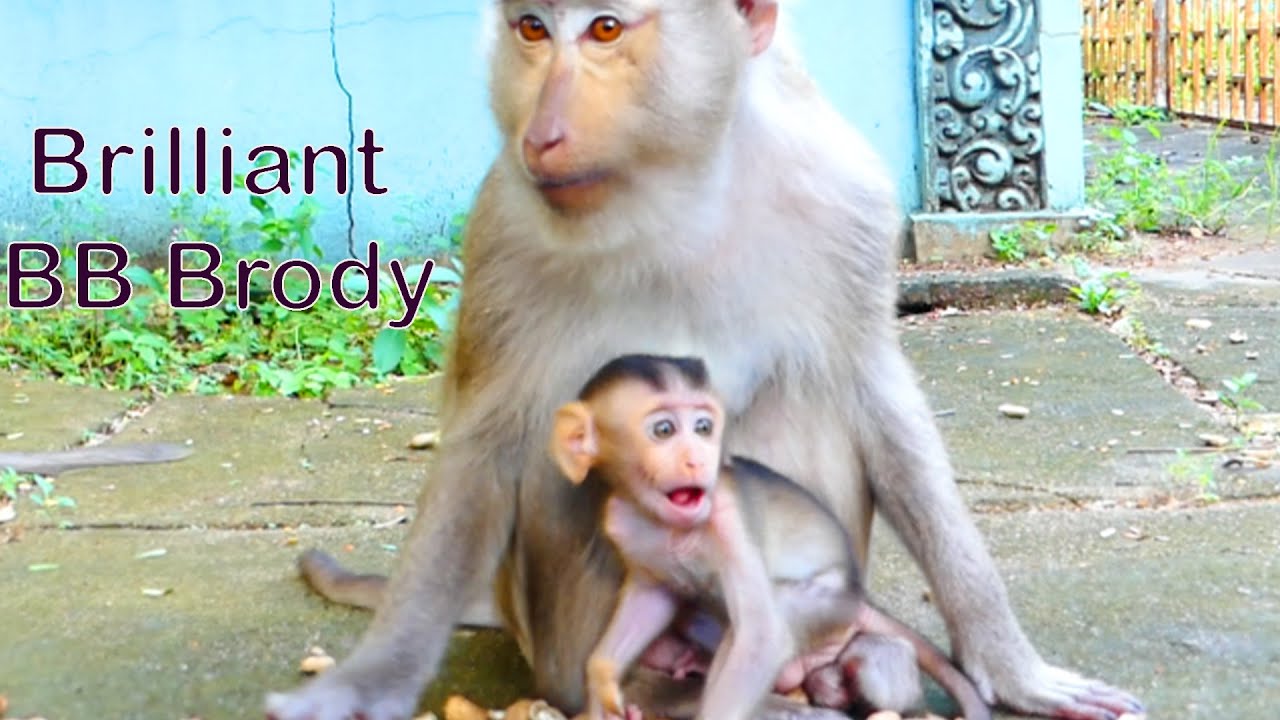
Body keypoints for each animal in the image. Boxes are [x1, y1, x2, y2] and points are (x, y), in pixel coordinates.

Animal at [552, 353, 991, 720]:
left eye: (703, 428)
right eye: (664, 430)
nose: (698, 459)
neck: (668, 524)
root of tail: (857, 599)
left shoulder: (728, 521)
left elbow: (761, 636)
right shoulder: (623, 523)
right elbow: (653, 597)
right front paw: (602, 682)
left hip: (825, 605)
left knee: (771, 618)